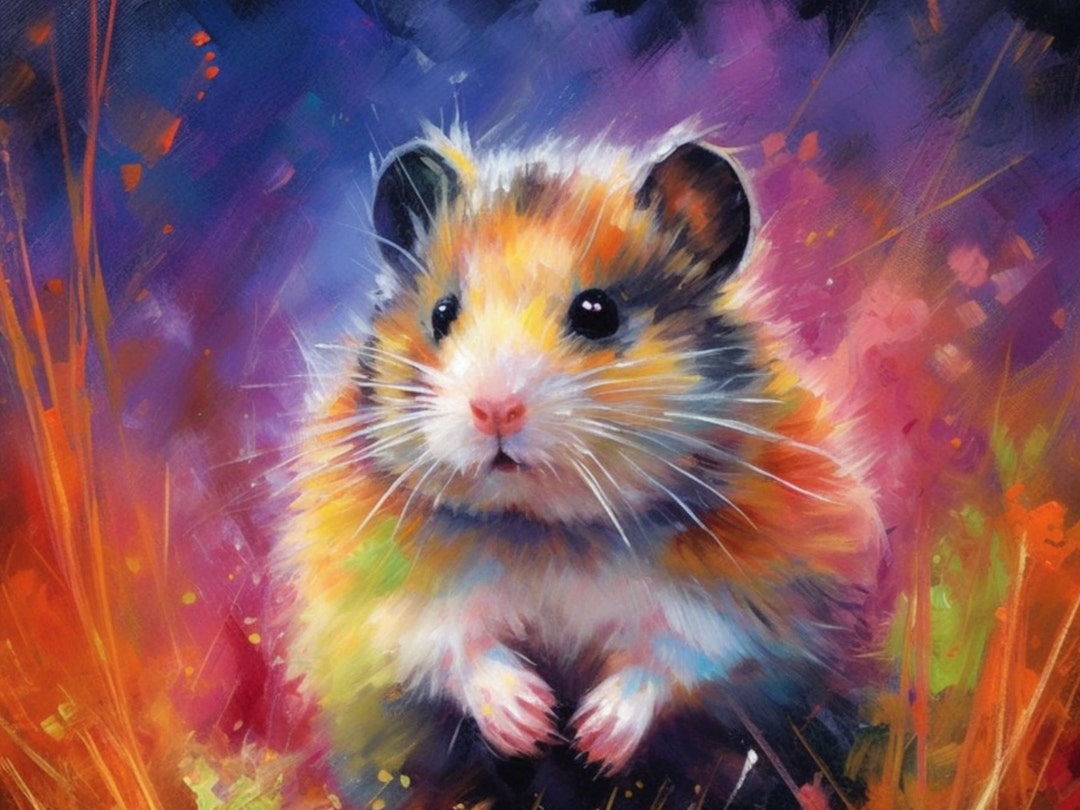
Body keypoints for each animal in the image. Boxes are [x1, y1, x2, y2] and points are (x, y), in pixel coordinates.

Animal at [277, 130, 884, 809]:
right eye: (442, 313)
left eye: (598, 312)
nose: (494, 409)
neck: (551, 531)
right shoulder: (376, 598)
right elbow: (449, 640)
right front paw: (533, 721)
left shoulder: (760, 600)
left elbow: (680, 653)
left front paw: (592, 739)